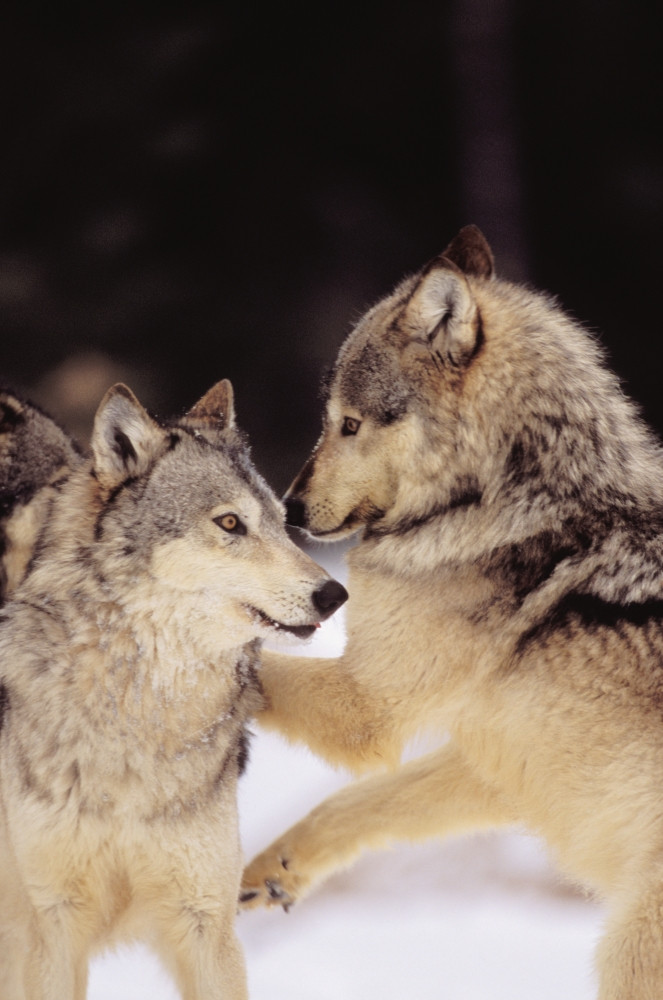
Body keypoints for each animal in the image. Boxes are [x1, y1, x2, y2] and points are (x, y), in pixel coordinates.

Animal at [241, 225, 663, 999]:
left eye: (348, 423)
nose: (289, 510)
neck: (492, 500)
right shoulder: (495, 757)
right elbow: (354, 804)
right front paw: (274, 869)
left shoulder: (367, 705)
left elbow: (252, 661)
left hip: (625, 954)